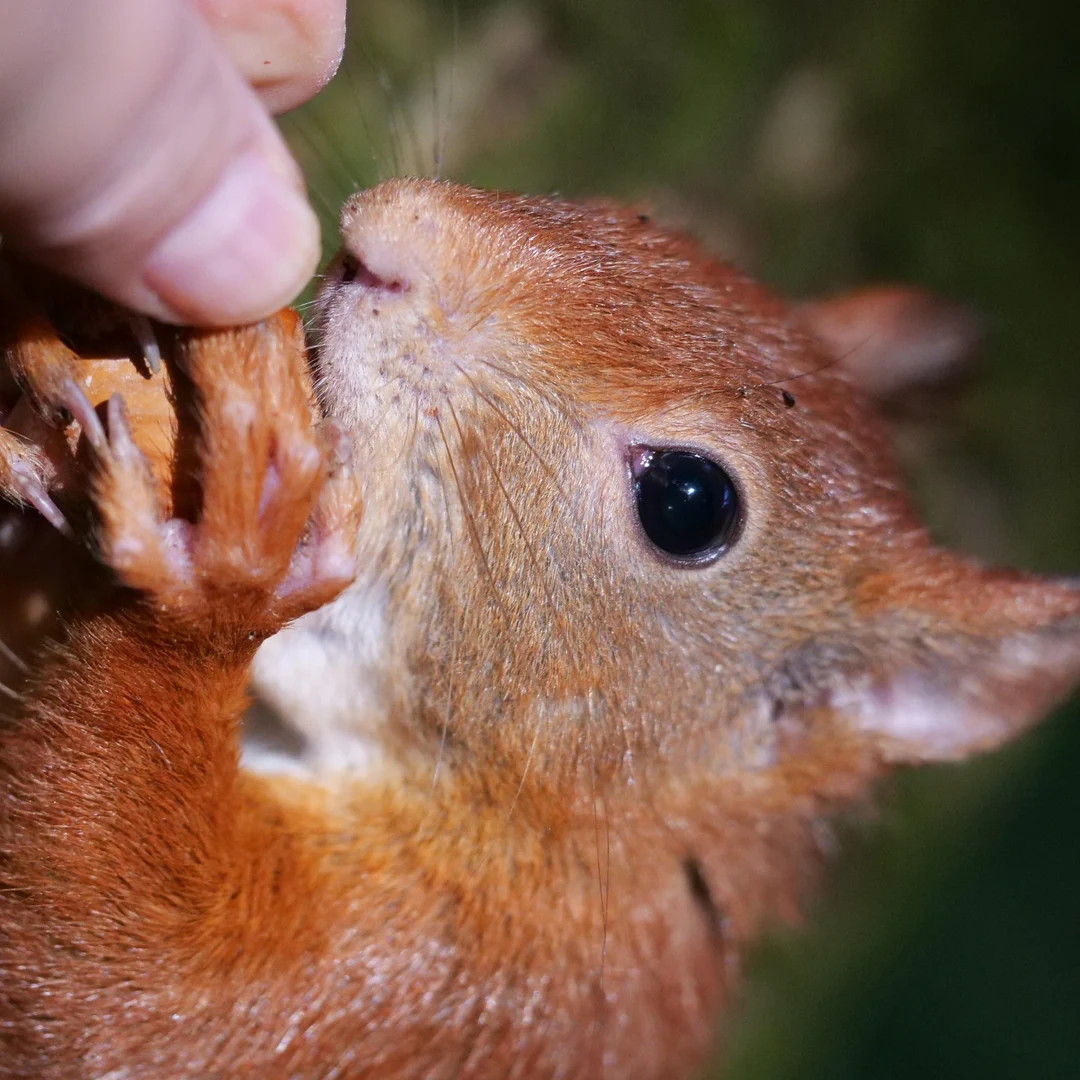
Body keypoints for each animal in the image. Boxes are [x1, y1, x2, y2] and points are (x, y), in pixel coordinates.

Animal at [1, 177, 1079, 1079]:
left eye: (688, 502)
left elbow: (132, 991)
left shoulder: (443, 993)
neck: (557, 839)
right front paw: (49, 335)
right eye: (663, 231)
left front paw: (222, 564)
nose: (385, 242)